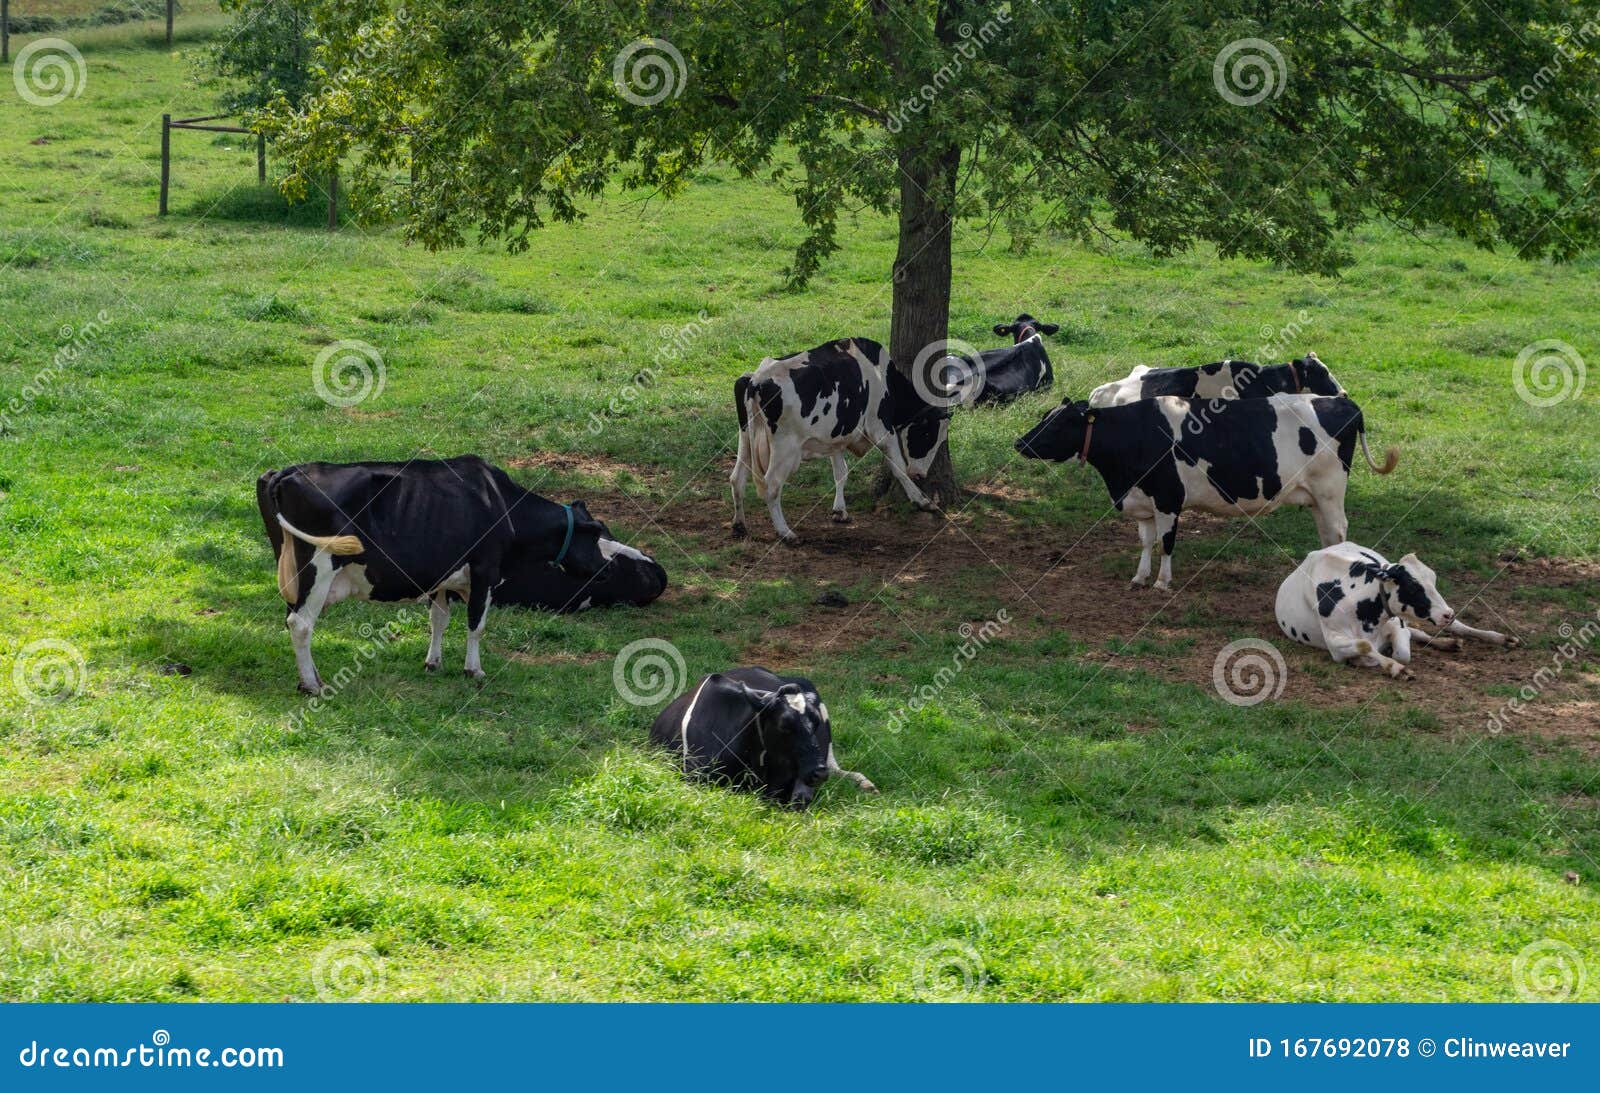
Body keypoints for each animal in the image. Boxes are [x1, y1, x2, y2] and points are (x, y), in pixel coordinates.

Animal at [256, 456, 614, 693]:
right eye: (596, 535)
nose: (606, 568)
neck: (502, 503)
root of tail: (286, 472)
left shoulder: (444, 577)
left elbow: (438, 620)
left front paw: (433, 663)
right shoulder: (485, 570)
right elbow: (476, 625)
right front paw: (474, 670)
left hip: (292, 573)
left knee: (294, 620)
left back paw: (312, 678)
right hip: (318, 565)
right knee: (301, 624)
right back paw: (312, 686)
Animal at [730, 337, 947, 544]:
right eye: (928, 434)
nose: (920, 474)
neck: (881, 375)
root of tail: (756, 380)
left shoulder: (836, 438)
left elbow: (841, 472)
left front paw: (840, 511)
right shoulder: (882, 430)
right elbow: (899, 468)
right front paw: (922, 500)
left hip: (745, 438)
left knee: (737, 478)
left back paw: (739, 526)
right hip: (785, 449)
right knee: (772, 485)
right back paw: (786, 533)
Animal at [1014, 394, 1398, 590]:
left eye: (1059, 423)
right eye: (1044, 416)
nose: (1019, 442)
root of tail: (1344, 402)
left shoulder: (1169, 499)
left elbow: (1167, 543)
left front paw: (1162, 582)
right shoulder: (1143, 501)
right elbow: (1146, 541)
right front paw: (1140, 576)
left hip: (1331, 492)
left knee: (1338, 532)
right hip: (1317, 497)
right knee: (1328, 536)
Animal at [1276, 542, 1520, 678]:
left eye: (1434, 579)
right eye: (1413, 587)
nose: (1447, 613)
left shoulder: (1395, 623)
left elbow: (1403, 652)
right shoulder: (1334, 642)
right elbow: (1365, 647)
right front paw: (1394, 668)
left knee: (1455, 627)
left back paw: (1501, 638)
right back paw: (1448, 642)